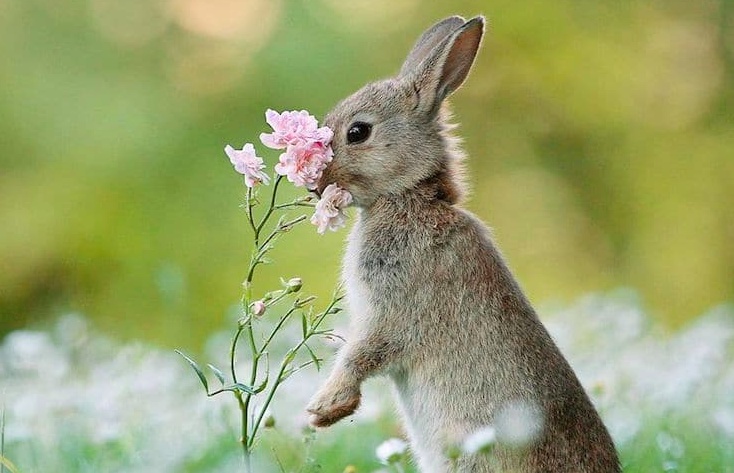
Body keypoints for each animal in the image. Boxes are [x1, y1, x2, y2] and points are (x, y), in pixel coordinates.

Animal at [306, 15, 620, 473]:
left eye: (358, 132)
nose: (315, 186)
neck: (412, 197)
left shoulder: (394, 310)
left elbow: (362, 353)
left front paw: (325, 409)